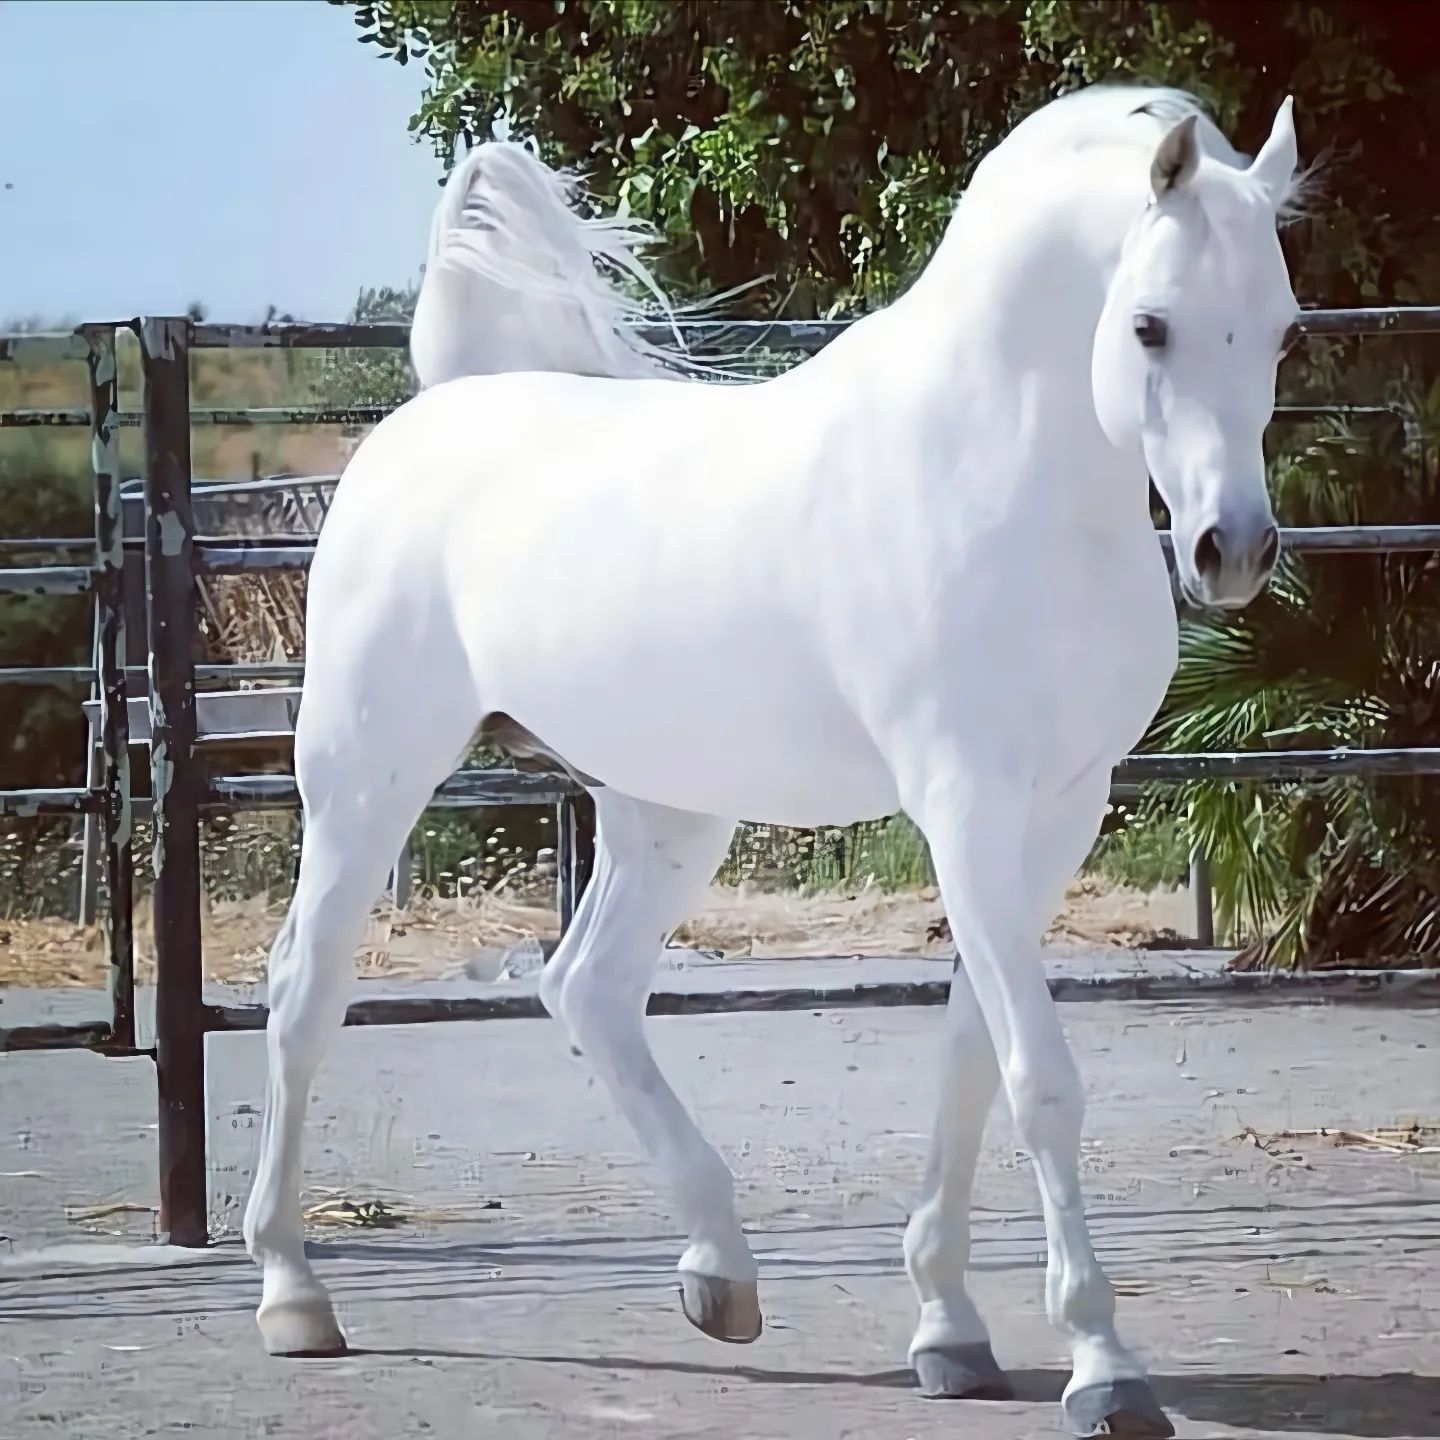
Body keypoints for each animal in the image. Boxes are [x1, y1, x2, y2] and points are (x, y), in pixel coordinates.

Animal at [242, 84, 1303, 1438]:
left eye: (1281, 329)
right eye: (1149, 324)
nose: (1234, 551)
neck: (998, 475)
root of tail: (437, 409)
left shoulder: (1052, 818)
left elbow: (970, 1060)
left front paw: (949, 1334)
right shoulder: (965, 808)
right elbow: (1038, 1080)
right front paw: (1105, 1368)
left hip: (667, 813)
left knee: (586, 988)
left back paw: (720, 1275)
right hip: (368, 777)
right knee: (304, 991)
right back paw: (293, 1295)